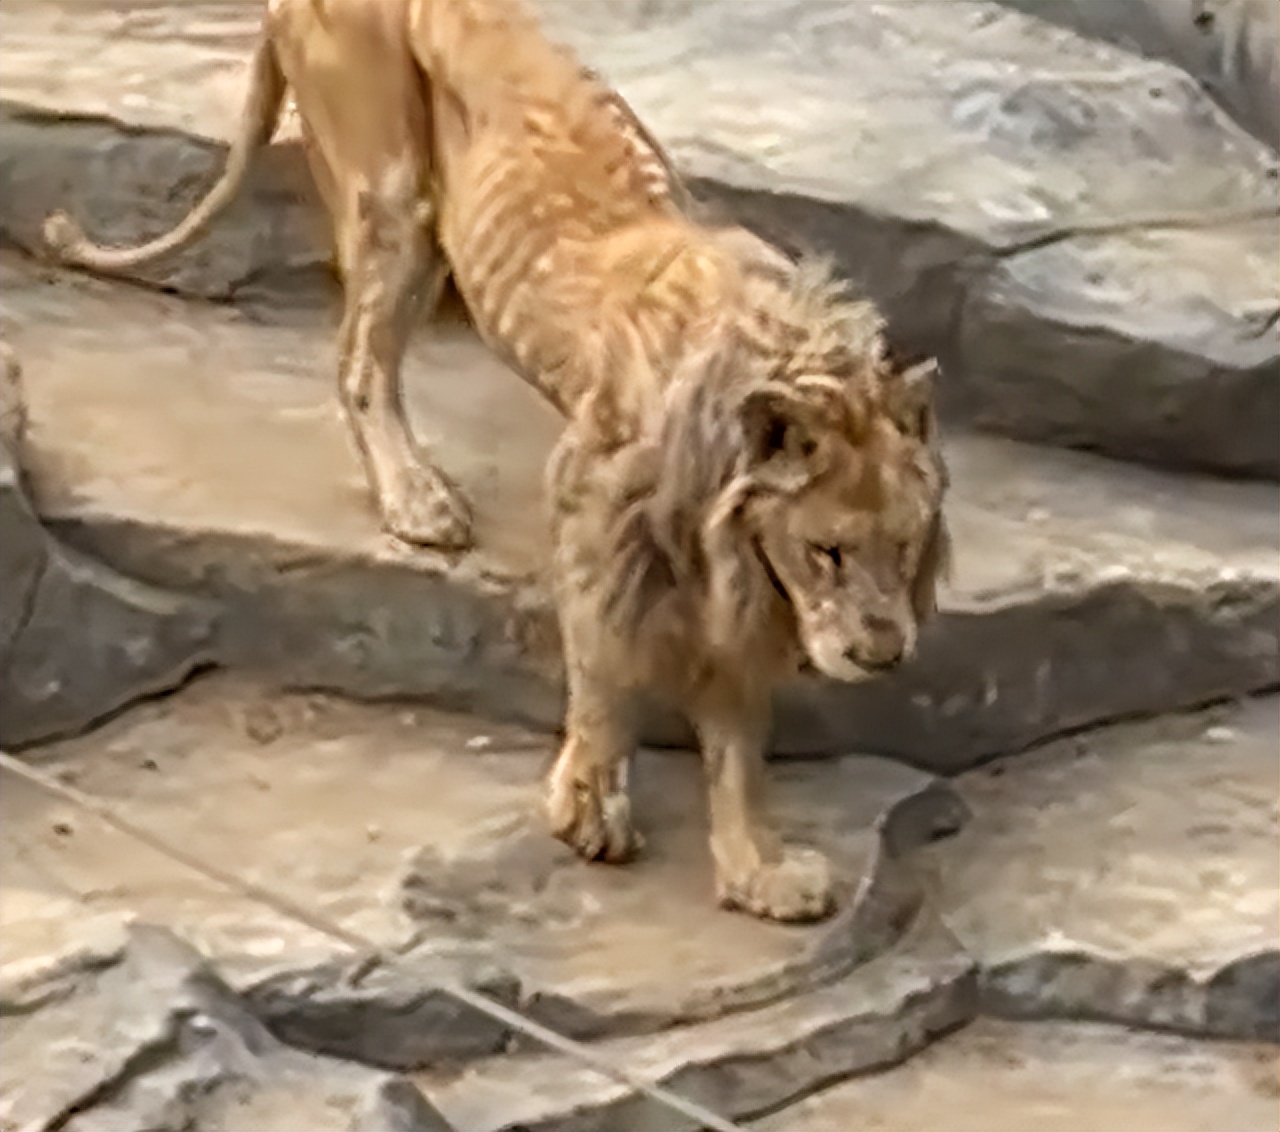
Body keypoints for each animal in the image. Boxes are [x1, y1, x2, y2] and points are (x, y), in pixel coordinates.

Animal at [42, 0, 951, 922]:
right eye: (827, 551)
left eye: (905, 546)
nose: (884, 655)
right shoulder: (591, 501)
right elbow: (603, 668)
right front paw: (590, 813)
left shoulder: (729, 580)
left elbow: (737, 737)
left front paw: (756, 870)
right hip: (393, 192)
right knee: (358, 361)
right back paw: (417, 502)